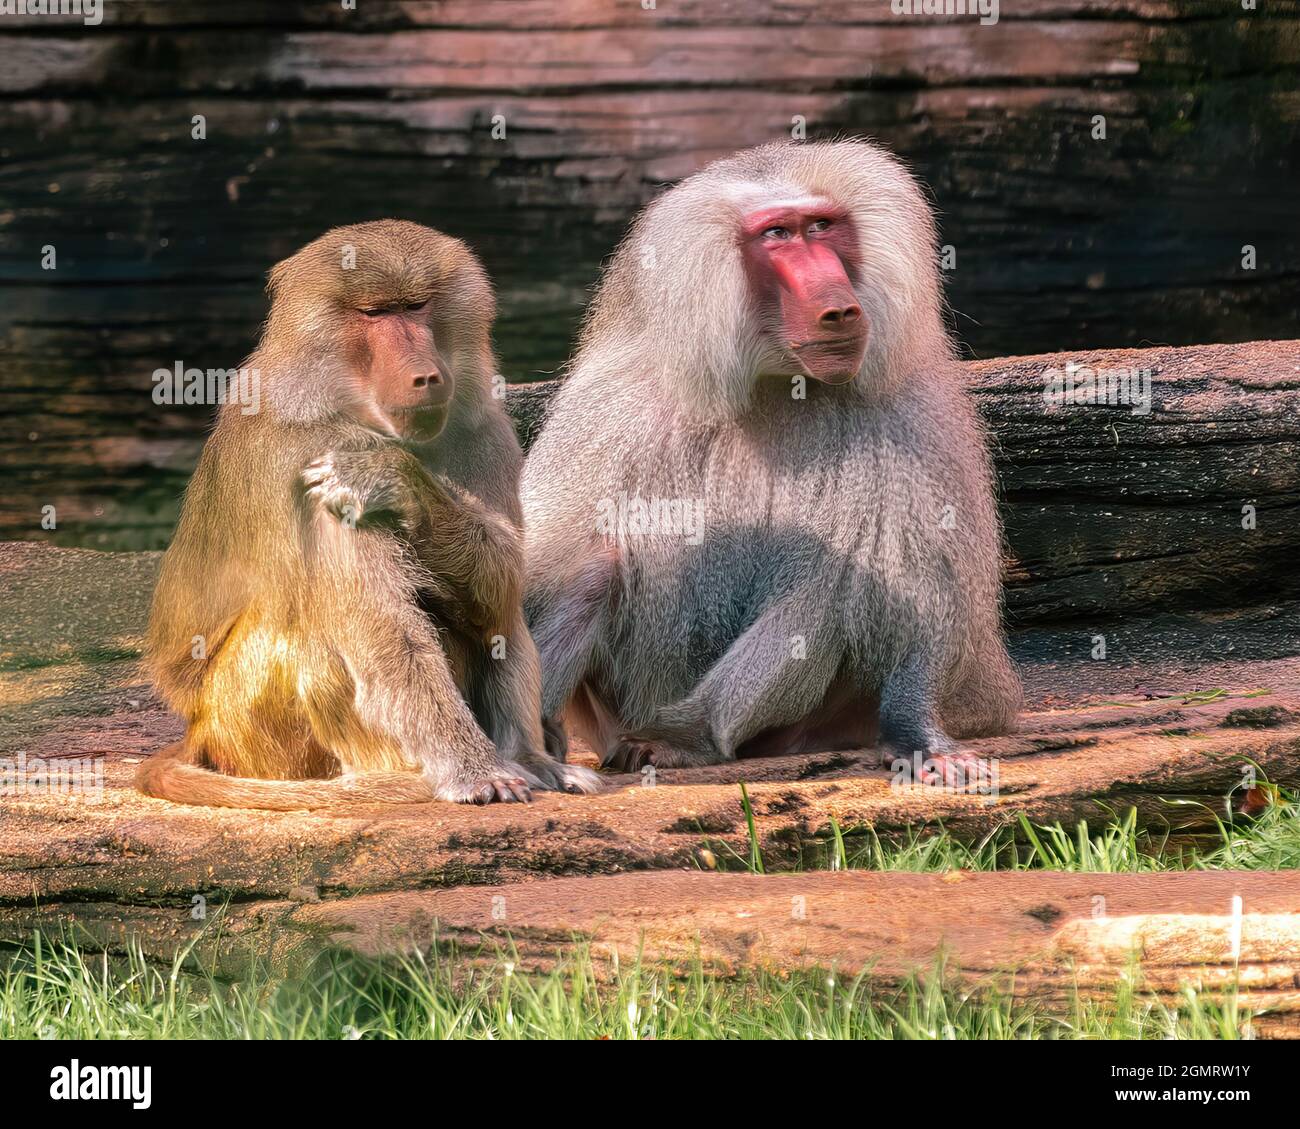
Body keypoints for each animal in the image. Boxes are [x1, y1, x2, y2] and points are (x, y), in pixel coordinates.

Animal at [138, 220, 599, 809]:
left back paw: (534, 761)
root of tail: (196, 727)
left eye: (418, 306)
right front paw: (475, 772)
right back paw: (392, 777)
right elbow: (388, 635)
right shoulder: (311, 457)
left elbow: (502, 583)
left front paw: (394, 479)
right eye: (376, 314)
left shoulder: (483, 426)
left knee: (498, 618)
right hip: (241, 723)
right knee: (314, 637)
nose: (426, 376)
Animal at [521, 140, 1021, 787]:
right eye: (778, 234)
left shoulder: (906, 408)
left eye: (823, 226)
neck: (776, 380)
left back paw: (688, 738)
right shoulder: (613, 406)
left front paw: (919, 737)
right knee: (593, 565)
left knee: (835, 578)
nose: (839, 309)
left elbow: (922, 589)